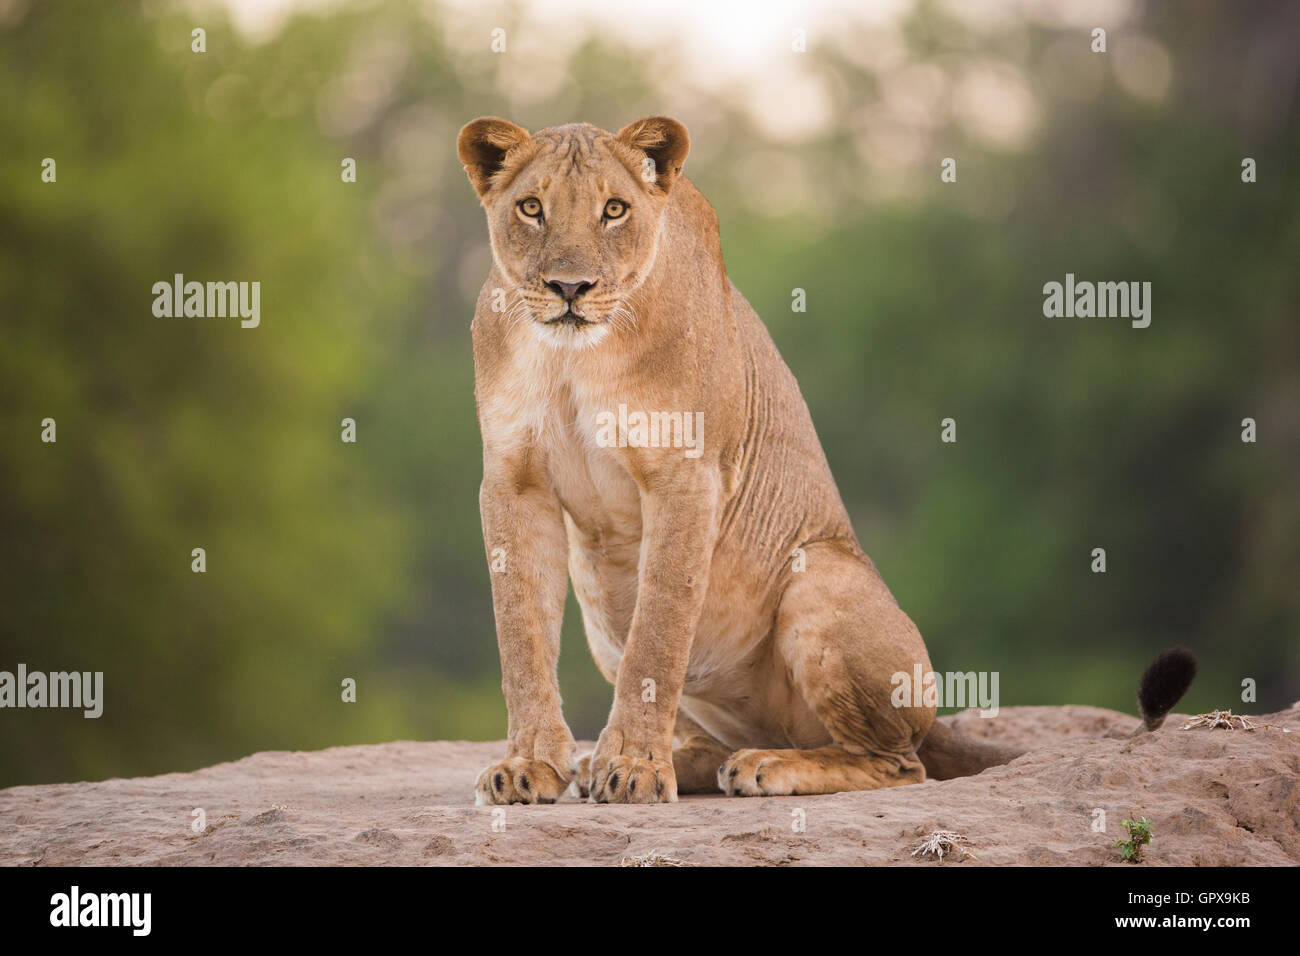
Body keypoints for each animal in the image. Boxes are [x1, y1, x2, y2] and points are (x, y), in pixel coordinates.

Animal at [457, 115, 1194, 803]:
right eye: (531, 208)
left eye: (614, 209)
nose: (569, 287)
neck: (573, 356)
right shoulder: (512, 479)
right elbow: (521, 636)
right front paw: (530, 767)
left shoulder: (684, 475)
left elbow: (658, 637)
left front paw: (634, 767)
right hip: (614, 632)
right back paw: (650, 761)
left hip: (818, 578)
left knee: (899, 762)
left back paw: (763, 766)